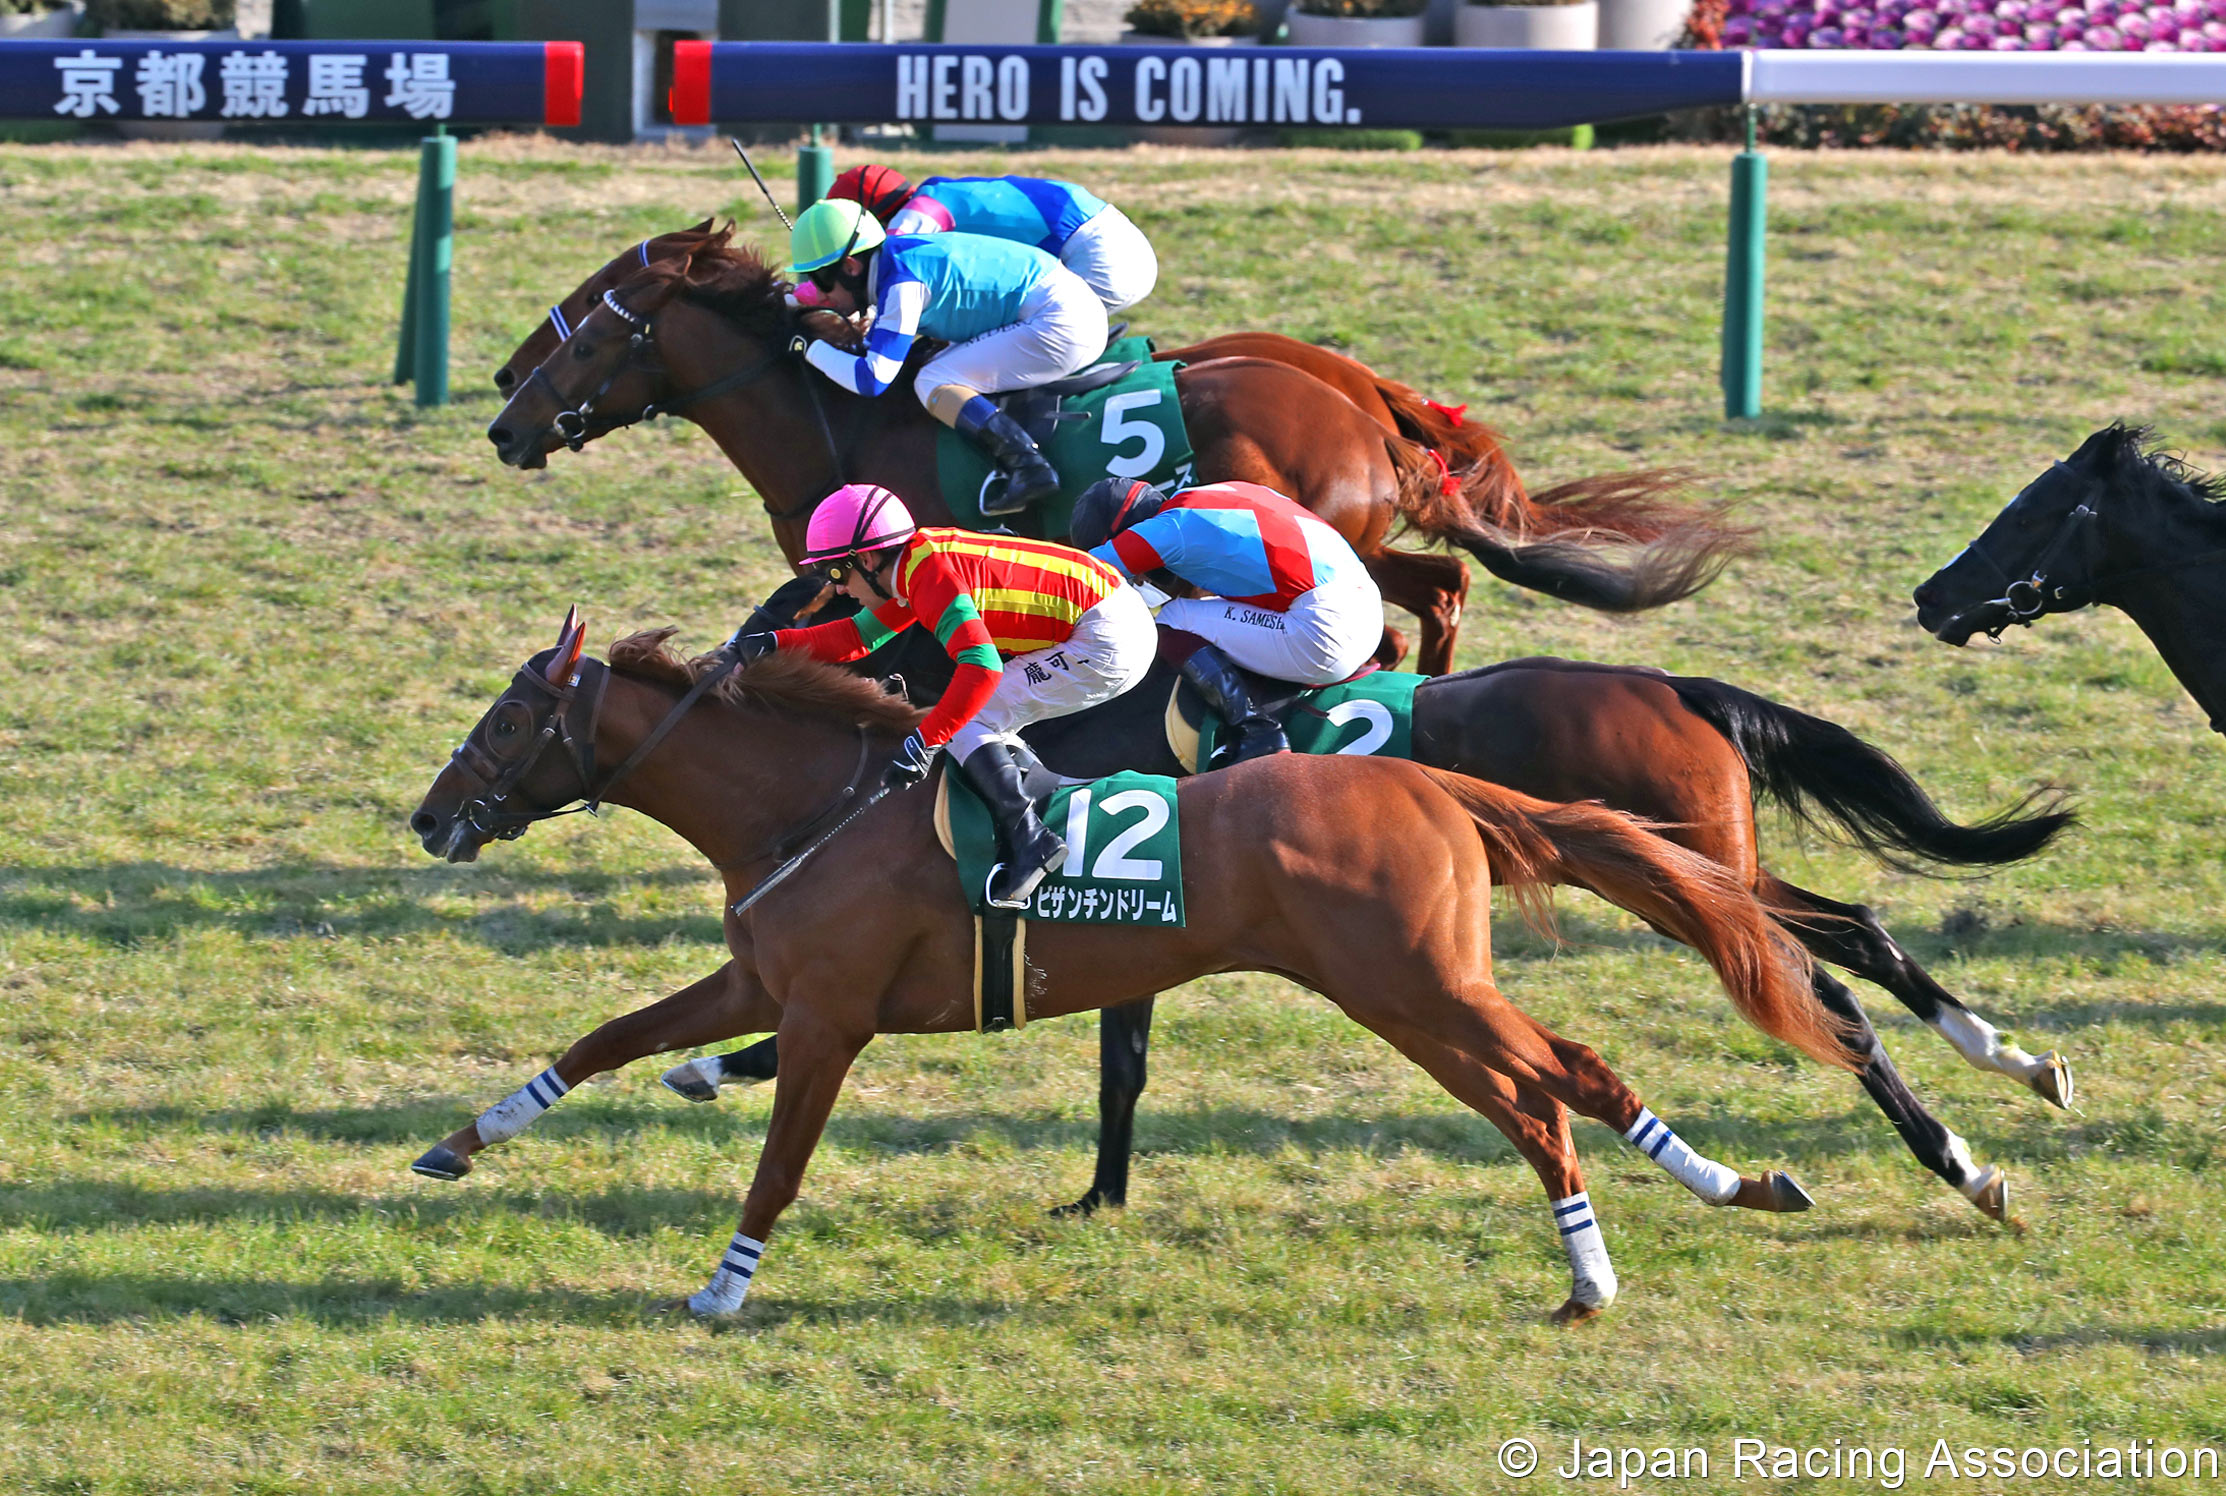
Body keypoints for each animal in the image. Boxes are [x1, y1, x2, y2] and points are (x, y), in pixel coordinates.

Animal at [408, 614, 1858, 1322]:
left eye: (508, 720)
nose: (429, 818)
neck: (812, 804)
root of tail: (1434, 783)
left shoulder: (825, 1016)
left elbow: (778, 1163)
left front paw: (722, 1289)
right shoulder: (762, 984)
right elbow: (604, 1038)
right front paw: (461, 1141)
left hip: (1411, 985)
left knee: (1559, 1081)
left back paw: (1635, 1248)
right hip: (1410, 991)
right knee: (1544, 1094)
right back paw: (1676, 1221)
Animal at [484, 226, 1742, 674]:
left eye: (587, 326)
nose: (502, 412)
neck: (839, 416)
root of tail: (1359, 400)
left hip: (1317, 532)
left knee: (1410, 607)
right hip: (1358, 535)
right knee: (1441, 589)